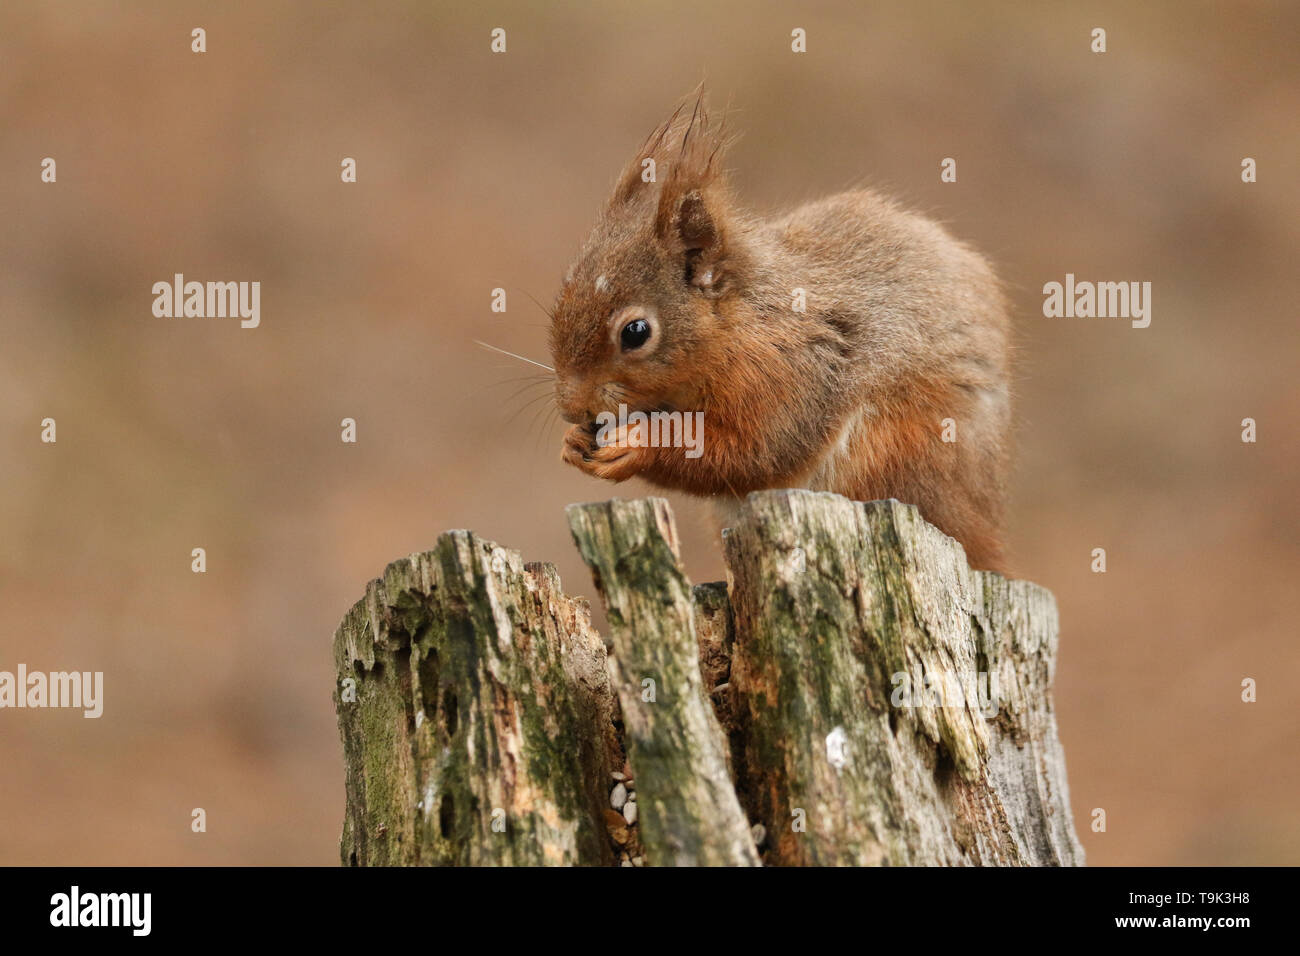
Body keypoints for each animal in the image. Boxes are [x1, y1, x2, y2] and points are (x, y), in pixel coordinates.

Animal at [549, 95, 1012, 572]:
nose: (571, 408)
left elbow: (755, 452)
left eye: (635, 332)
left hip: (900, 453)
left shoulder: (792, 373)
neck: (740, 326)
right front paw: (572, 443)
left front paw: (640, 443)